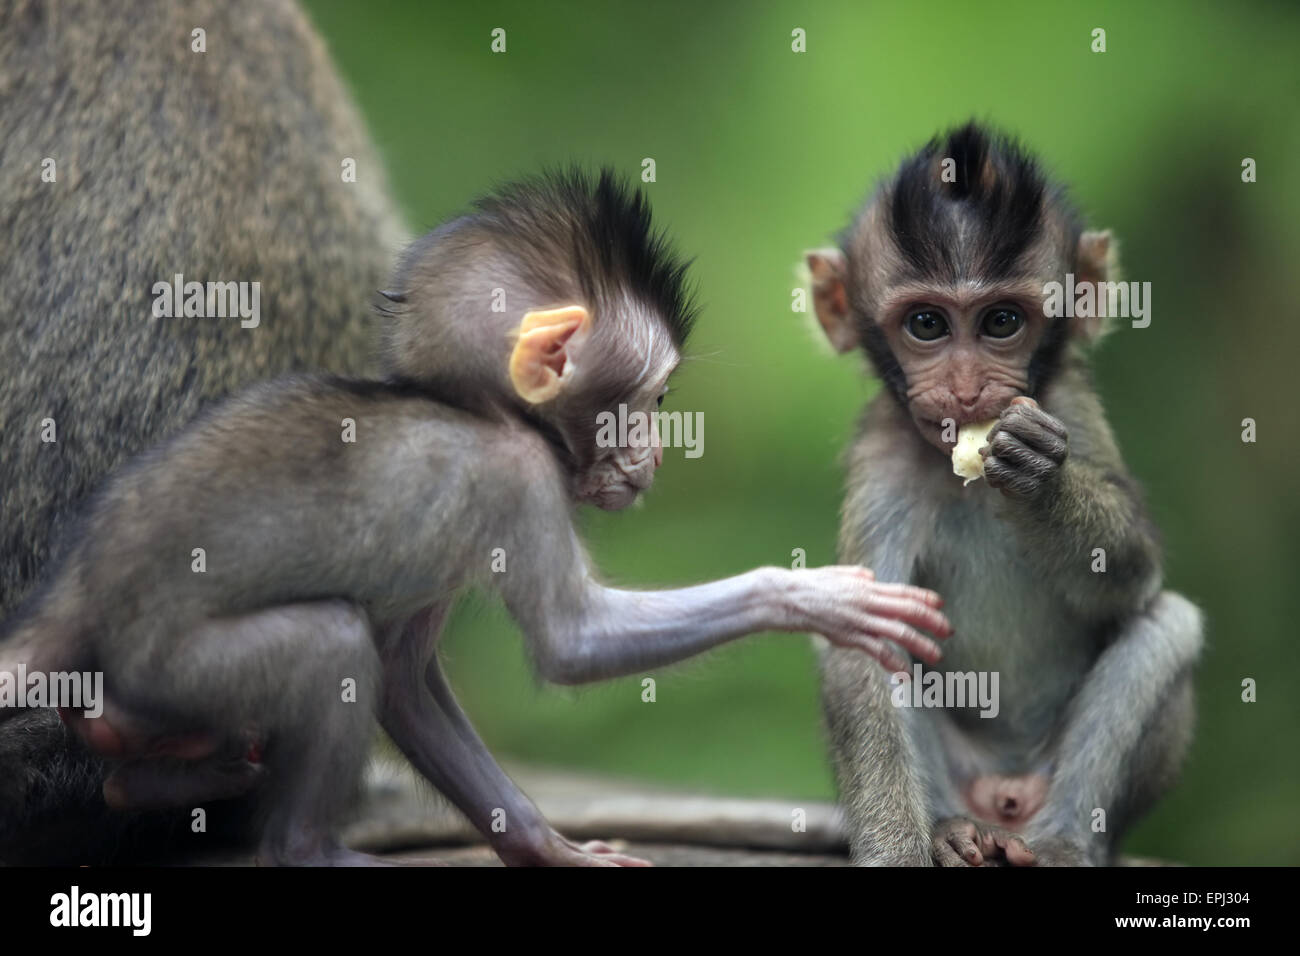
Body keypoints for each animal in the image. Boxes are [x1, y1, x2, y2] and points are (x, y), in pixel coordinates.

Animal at [0, 169, 953, 866]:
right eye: (648, 402)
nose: (655, 454)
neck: (483, 411)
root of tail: (82, 592)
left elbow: (405, 682)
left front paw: (546, 849)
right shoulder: (518, 480)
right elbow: (571, 645)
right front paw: (815, 598)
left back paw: (155, 773)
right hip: (175, 657)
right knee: (327, 646)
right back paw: (308, 848)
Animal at [805, 122, 1203, 866]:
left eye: (1000, 322)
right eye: (927, 324)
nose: (967, 394)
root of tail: (1003, 796)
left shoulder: (1069, 403)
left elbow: (1132, 571)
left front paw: (1042, 481)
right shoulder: (883, 455)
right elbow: (866, 630)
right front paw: (898, 850)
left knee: (1168, 623)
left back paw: (1065, 841)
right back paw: (949, 828)